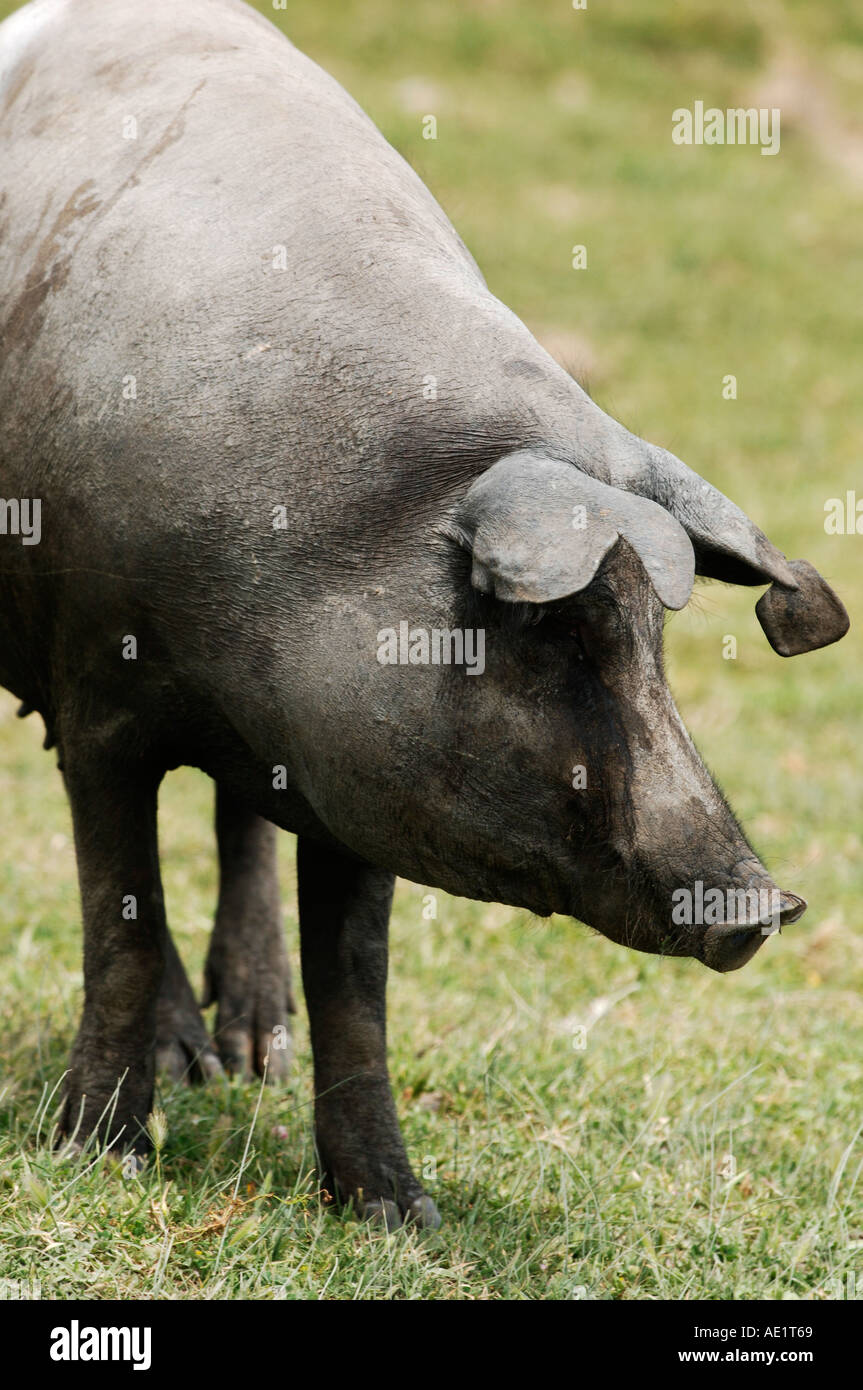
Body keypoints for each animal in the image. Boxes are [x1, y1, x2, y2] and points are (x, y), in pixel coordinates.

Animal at [0, 0, 848, 1230]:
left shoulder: (359, 780)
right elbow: (118, 924)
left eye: (656, 640)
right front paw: (95, 1158)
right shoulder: (97, 698)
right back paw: (192, 1067)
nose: (757, 899)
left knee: (238, 831)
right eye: (551, 631)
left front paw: (397, 1215)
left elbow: (356, 987)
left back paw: (249, 1056)